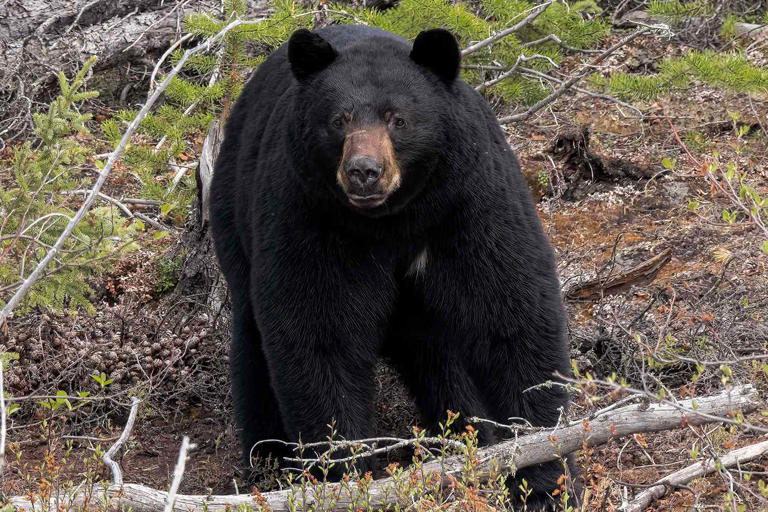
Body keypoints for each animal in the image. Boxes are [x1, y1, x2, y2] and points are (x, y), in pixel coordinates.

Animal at [210, 24, 574, 508]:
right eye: (339, 119)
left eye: (397, 119)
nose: (364, 171)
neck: (394, 220)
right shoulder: (310, 215)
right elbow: (320, 333)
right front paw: (345, 473)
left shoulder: (468, 201)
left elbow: (511, 313)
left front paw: (544, 475)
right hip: (235, 212)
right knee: (253, 345)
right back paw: (267, 460)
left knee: (438, 354)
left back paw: (466, 433)